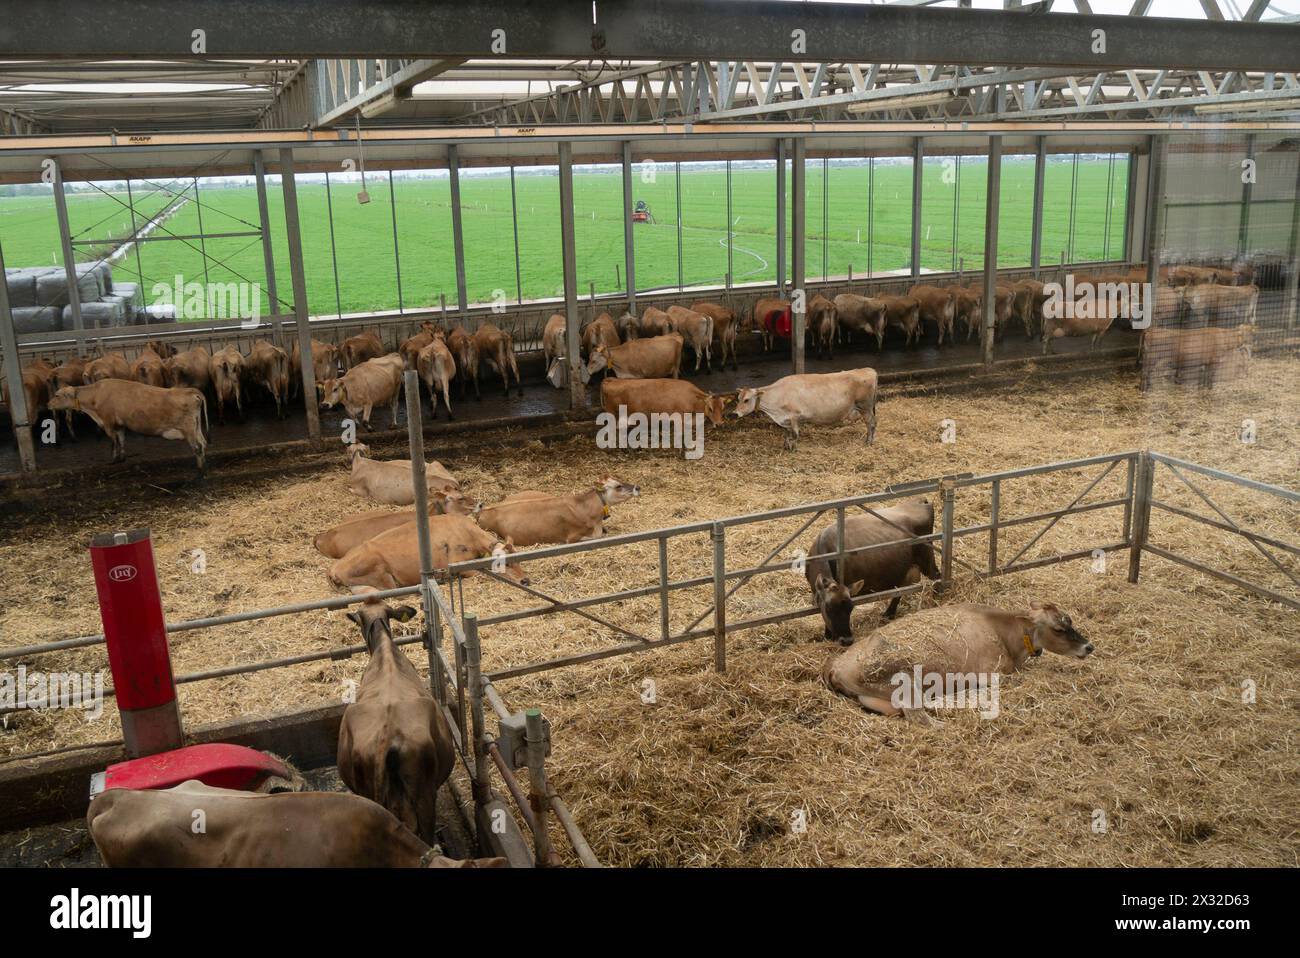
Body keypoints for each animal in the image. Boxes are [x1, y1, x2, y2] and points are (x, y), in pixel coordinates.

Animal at [48, 380, 208, 471]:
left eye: (57, 395)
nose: (48, 404)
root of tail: (190, 390)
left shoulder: (108, 423)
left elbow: (114, 442)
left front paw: (114, 459)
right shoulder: (120, 425)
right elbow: (122, 440)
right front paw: (122, 457)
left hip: (188, 429)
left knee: (198, 447)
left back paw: (200, 471)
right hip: (196, 427)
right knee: (203, 443)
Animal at [327, 513, 529, 590]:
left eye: (519, 559)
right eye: (505, 563)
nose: (525, 580)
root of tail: (333, 569)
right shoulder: (458, 564)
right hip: (384, 576)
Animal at [732, 368, 878, 451]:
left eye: (746, 400)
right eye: (738, 399)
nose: (734, 414)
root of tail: (868, 369)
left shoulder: (795, 416)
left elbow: (795, 434)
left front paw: (793, 448)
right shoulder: (785, 419)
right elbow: (787, 433)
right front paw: (786, 446)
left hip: (865, 407)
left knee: (871, 423)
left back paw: (868, 442)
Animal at [804, 500, 940, 643]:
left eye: (851, 608)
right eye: (829, 608)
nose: (847, 640)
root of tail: (921, 502)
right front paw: (827, 635)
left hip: (927, 558)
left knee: (936, 576)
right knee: (901, 589)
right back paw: (889, 613)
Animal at [822, 601, 1093, 722]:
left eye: (1070, 620)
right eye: (1059, 629)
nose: (1089, 646)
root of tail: (834, 666)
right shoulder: (993, 672)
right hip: (902, 680)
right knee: (918, 717)